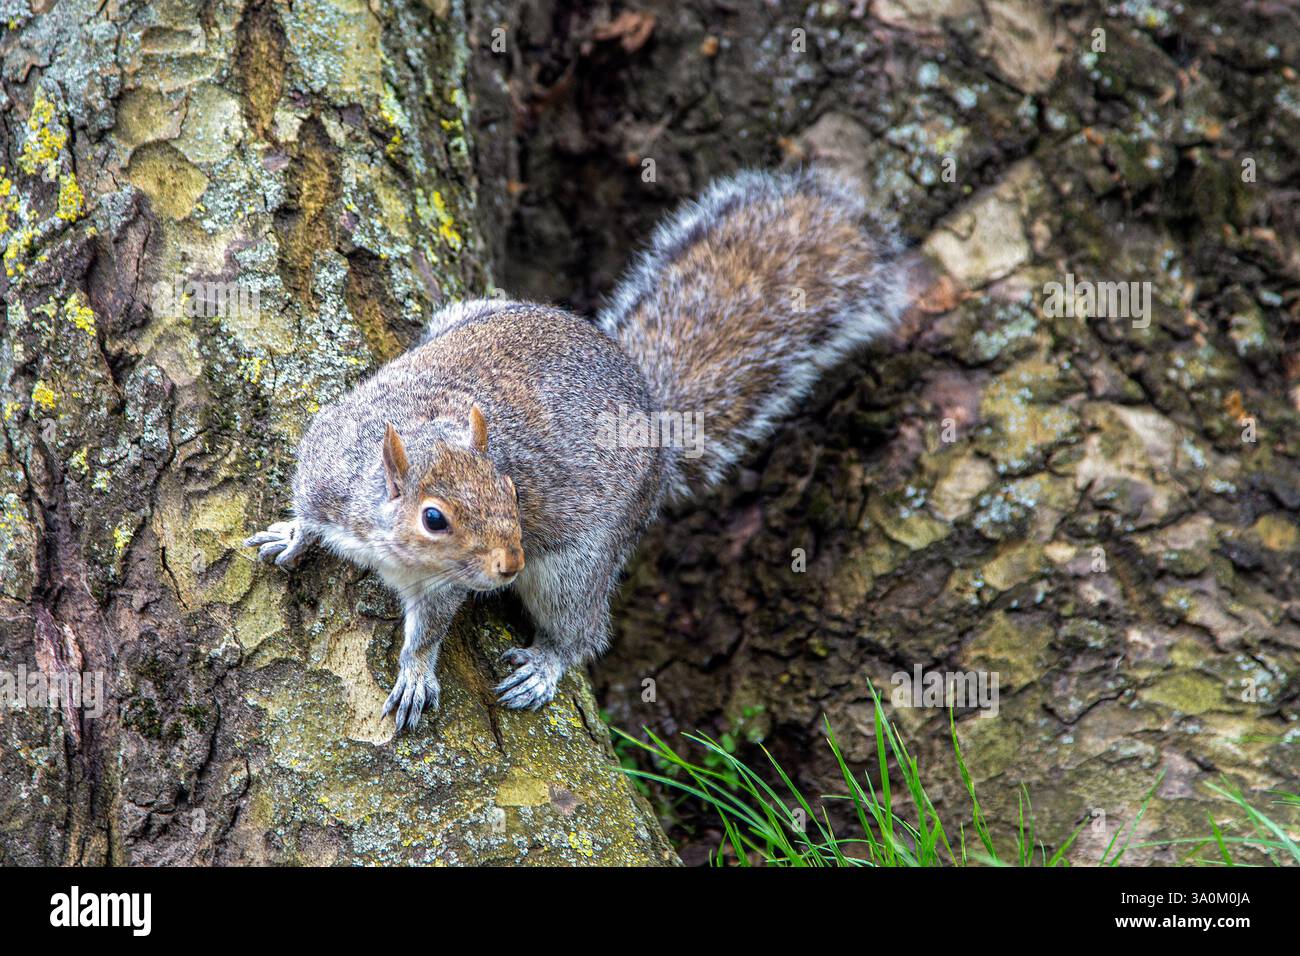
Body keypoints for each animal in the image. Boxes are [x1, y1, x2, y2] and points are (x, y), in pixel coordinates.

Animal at [245, 166, 908, 731]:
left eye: (512, 489)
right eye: (435, 519)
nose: (508, 565)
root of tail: (653, 418)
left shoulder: (445, 584)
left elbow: (430, 628)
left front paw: (414, 674)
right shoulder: (327, 464)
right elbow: (309, 513)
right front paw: (290, 536)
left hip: (578, 564)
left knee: (581, 630)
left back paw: (546, 665)